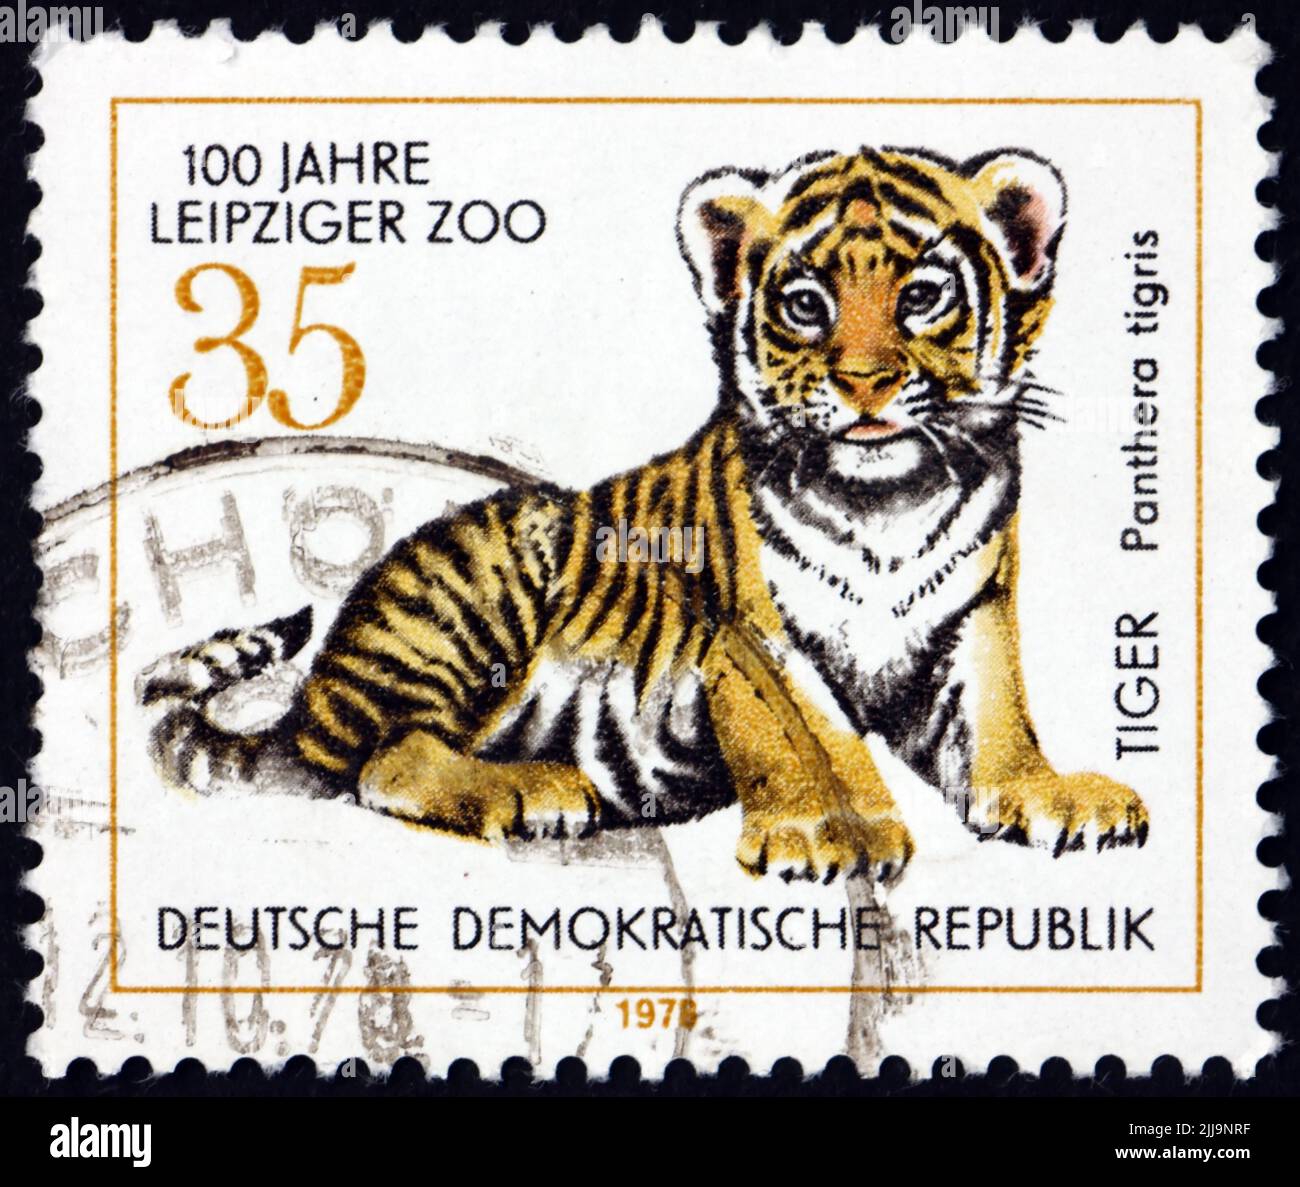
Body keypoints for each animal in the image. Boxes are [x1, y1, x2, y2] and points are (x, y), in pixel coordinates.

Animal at [139, 145, 1149, 884]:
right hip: (484, 588)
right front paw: (830, 829)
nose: (864, 385)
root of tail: (310, 703)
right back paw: (536, 789)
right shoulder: (753, 632)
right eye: (805, 305)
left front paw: (1053, 794)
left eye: (923, 296)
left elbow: (1000, 713)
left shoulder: (973, 613)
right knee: (386, 761)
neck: (886, 502)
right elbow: (808, 733)